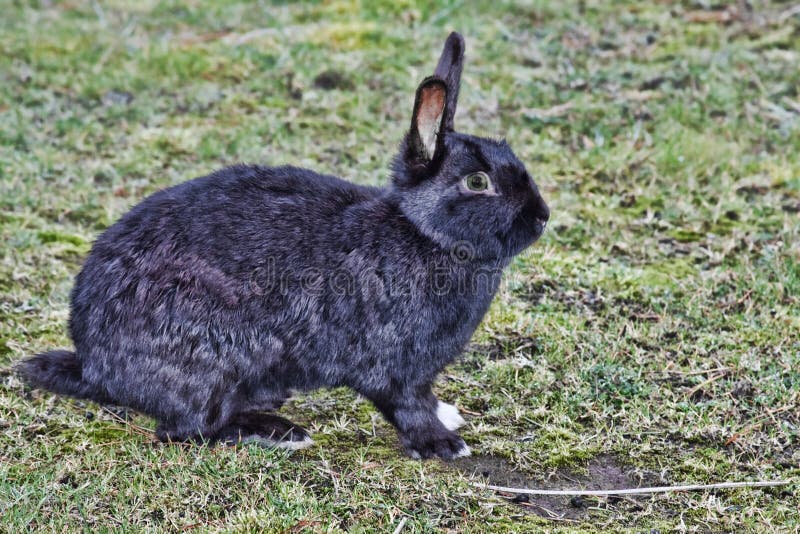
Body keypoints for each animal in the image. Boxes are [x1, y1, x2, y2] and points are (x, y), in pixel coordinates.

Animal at [17, 32, 549, 460]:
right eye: (477, 182)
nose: (542, 217)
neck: (421, 233)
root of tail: (94, 365)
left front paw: (449, 417)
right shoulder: (393, 365)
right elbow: (406, 403)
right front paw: (442, 444)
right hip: (211, 357)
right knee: (188, 429)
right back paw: (278, 431)